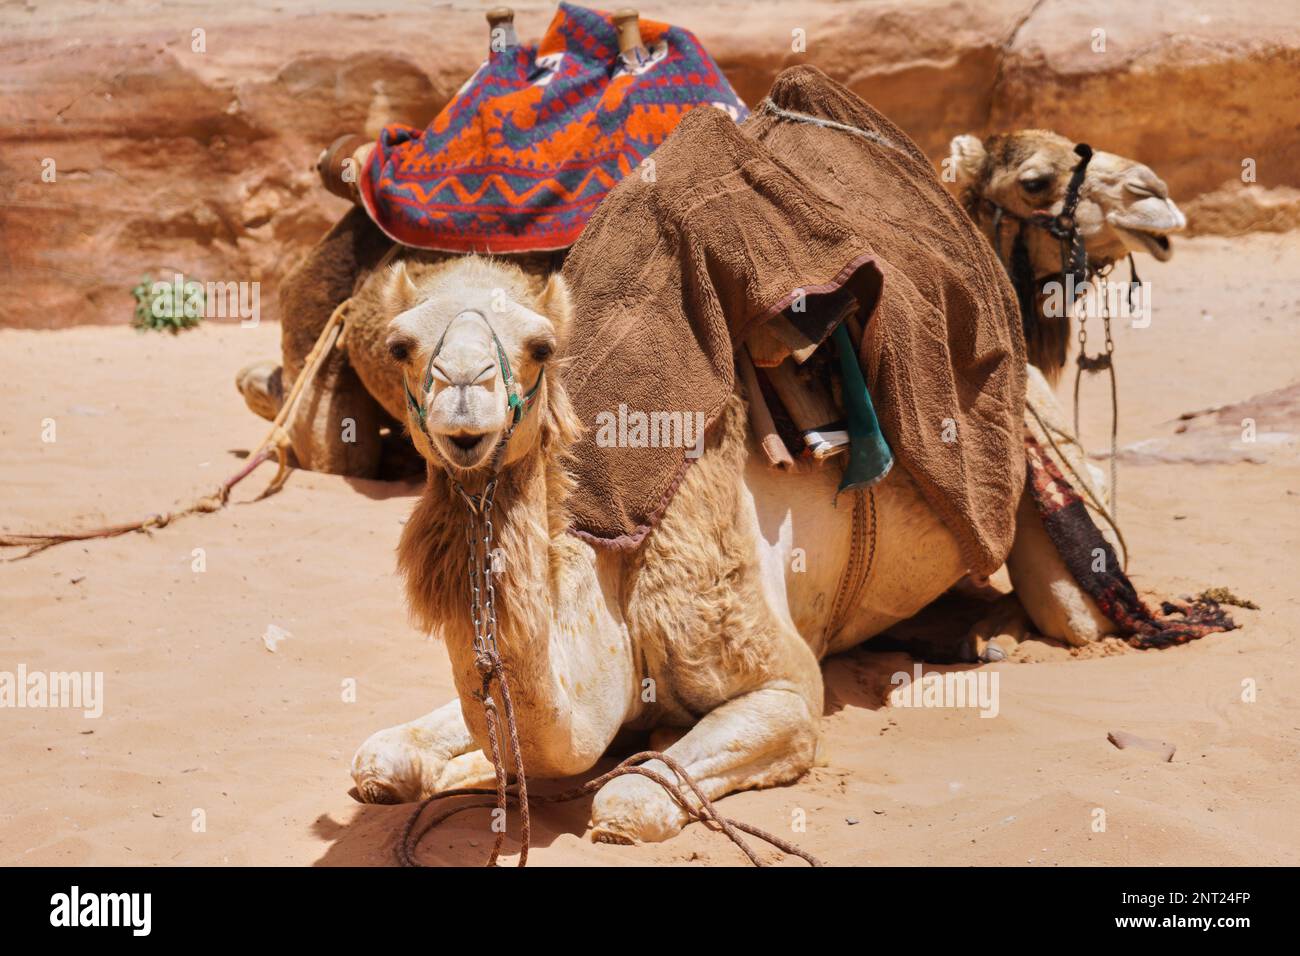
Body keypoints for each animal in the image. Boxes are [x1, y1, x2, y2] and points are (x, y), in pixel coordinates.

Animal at [347, 251, 1135, 845]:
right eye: (401, 346)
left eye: (540, 347)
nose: (464, 407)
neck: (618, 579)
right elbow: (382, 753)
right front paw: (457, 772)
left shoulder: (782, 689)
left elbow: (629, 798)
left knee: (1071, 608)